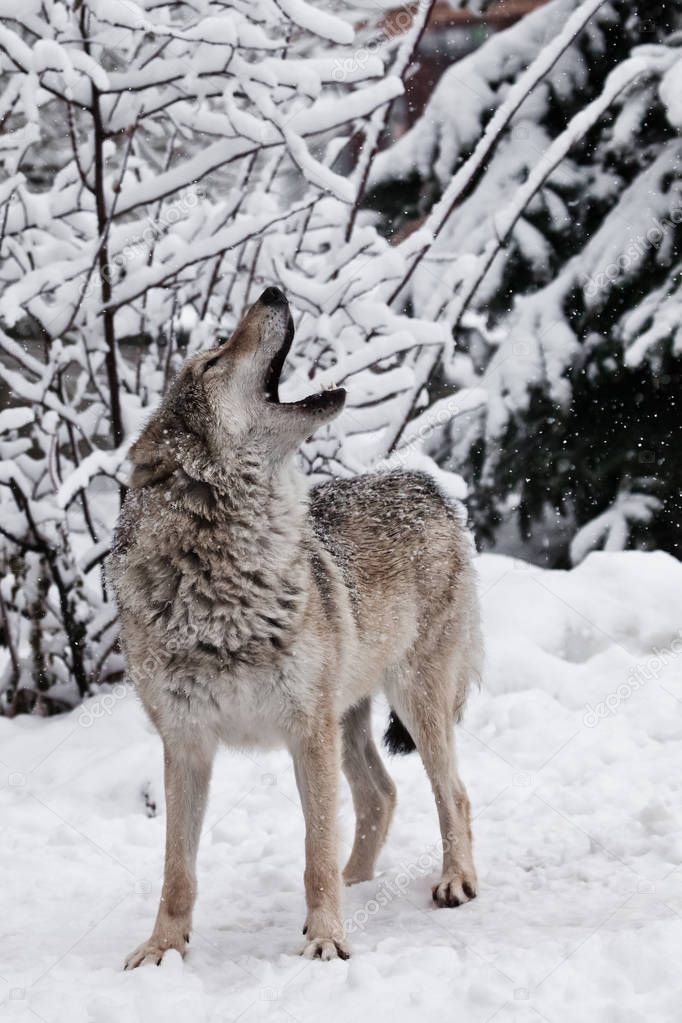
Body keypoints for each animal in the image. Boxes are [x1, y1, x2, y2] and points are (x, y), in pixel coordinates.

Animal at [108, 286, 482, 966]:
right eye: (213, 361)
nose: (272, 291)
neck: (225, 580)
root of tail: (423, 480)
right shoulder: (186, 743)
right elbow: (177, 869)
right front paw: (162, 950)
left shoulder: (306, 732)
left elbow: (315, 852)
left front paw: (327, 939)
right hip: (350, 718)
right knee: (380, 795)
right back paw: (361, 883)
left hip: (413, 702)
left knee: (453, 793)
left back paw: (454, 881)